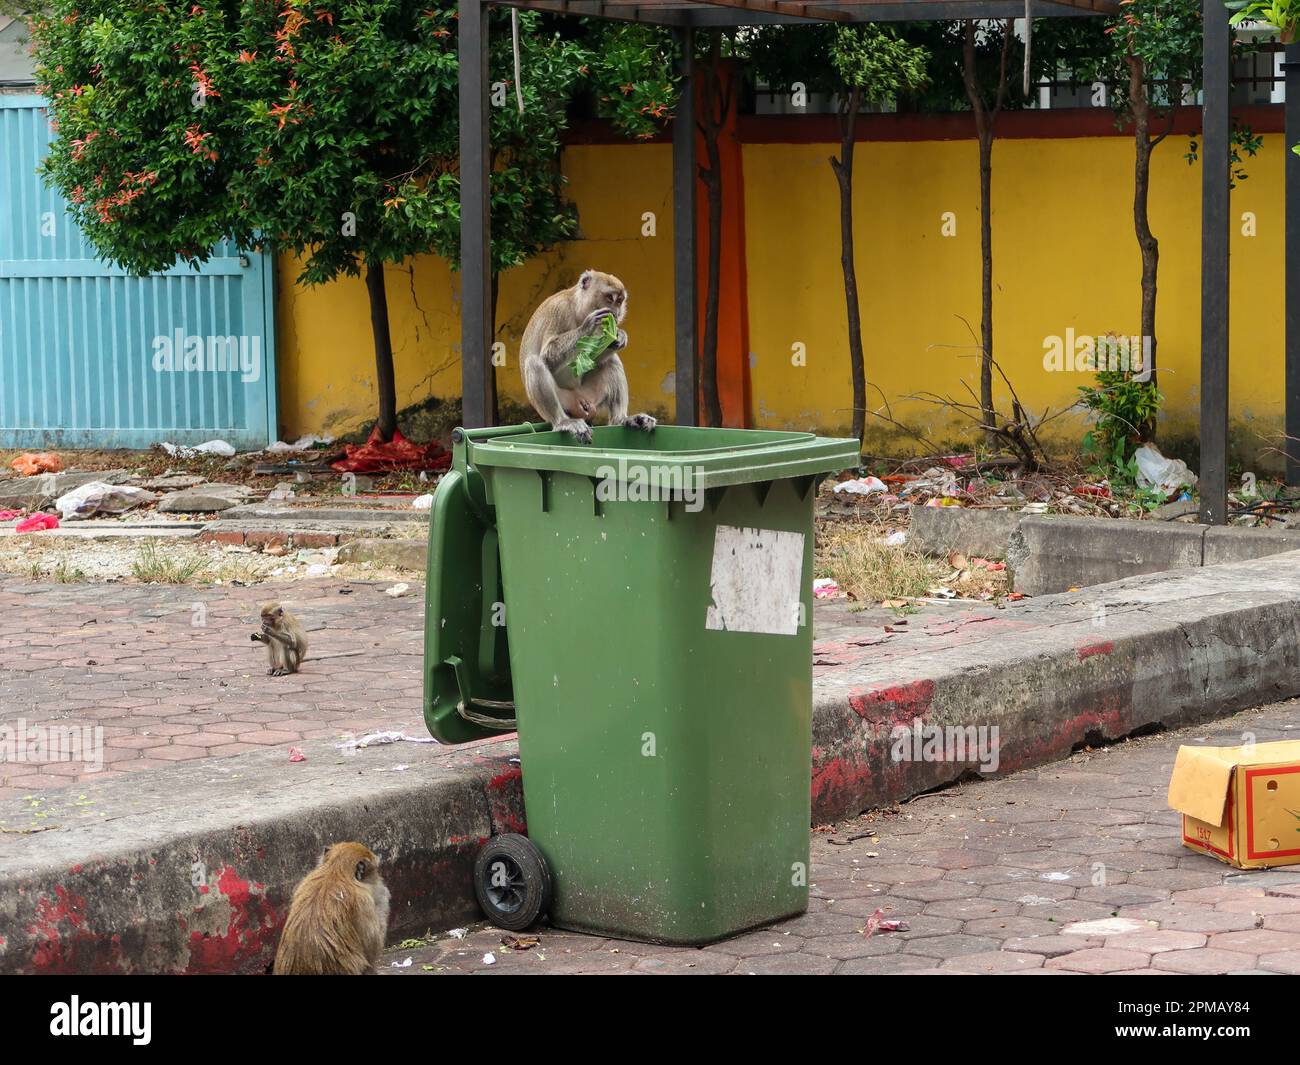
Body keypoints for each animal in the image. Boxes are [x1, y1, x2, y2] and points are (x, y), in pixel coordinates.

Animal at [519, 269, 657, 445]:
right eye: (609, 298)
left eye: (619, 301)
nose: (616, 313)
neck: (577, 308)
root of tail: (578, 400)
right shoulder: (559, 311)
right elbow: (547, 355)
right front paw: (588, 325)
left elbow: (595, 357)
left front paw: (619, 336)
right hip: (565, 401)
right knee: (534, 363)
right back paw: (563, 422)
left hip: (590, 395)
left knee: (612, 361)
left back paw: (621, 419)